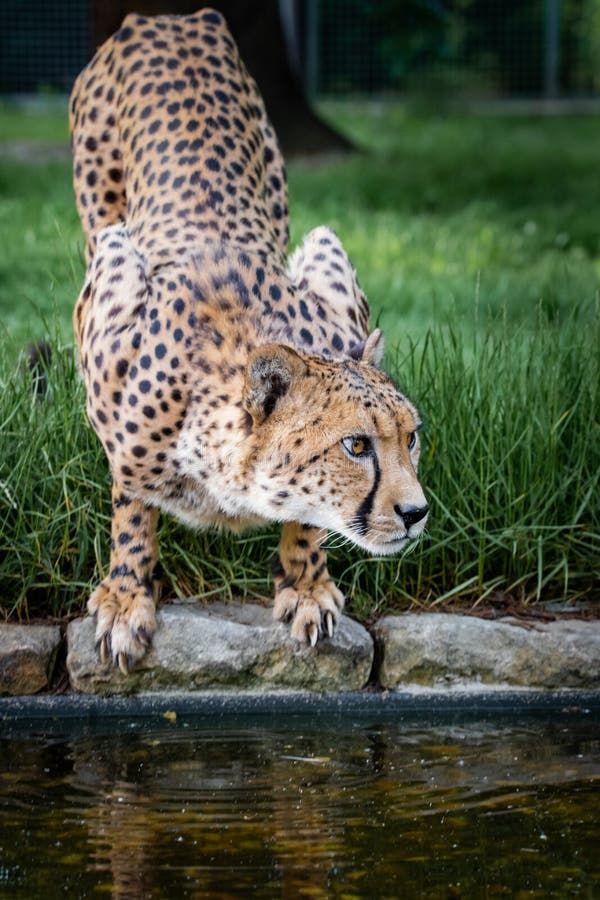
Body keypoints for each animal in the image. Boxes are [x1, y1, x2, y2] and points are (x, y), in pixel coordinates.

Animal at [70, 8, 429, 675]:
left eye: (411, 438)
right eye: (356, 446)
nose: (416, 513)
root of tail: (166, 18)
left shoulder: (331, 276)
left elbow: (307, 519)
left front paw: (306, 583)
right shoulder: (107, 312)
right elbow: (129, 499)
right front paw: (127, 595)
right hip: (99, 214)